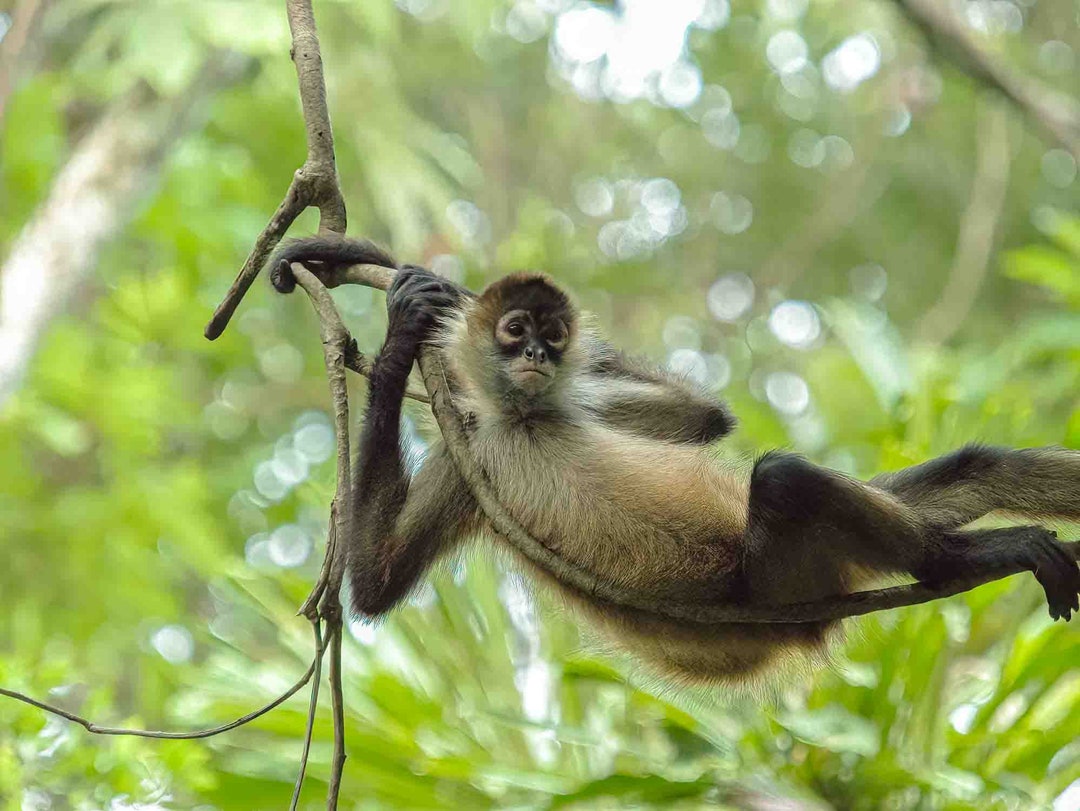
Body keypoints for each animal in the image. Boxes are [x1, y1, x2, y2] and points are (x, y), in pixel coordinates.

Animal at [271, 237, 1080, 684]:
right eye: (514, 331)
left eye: (554, 336)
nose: (539, 356)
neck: (526, 416)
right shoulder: (465, 455)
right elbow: (375, 586)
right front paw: (401, 328)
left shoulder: (544, 416)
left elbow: (704, 419)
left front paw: (410, 279)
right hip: (784, 579)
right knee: (785, 480)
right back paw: (959, 560)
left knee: (982, 466)